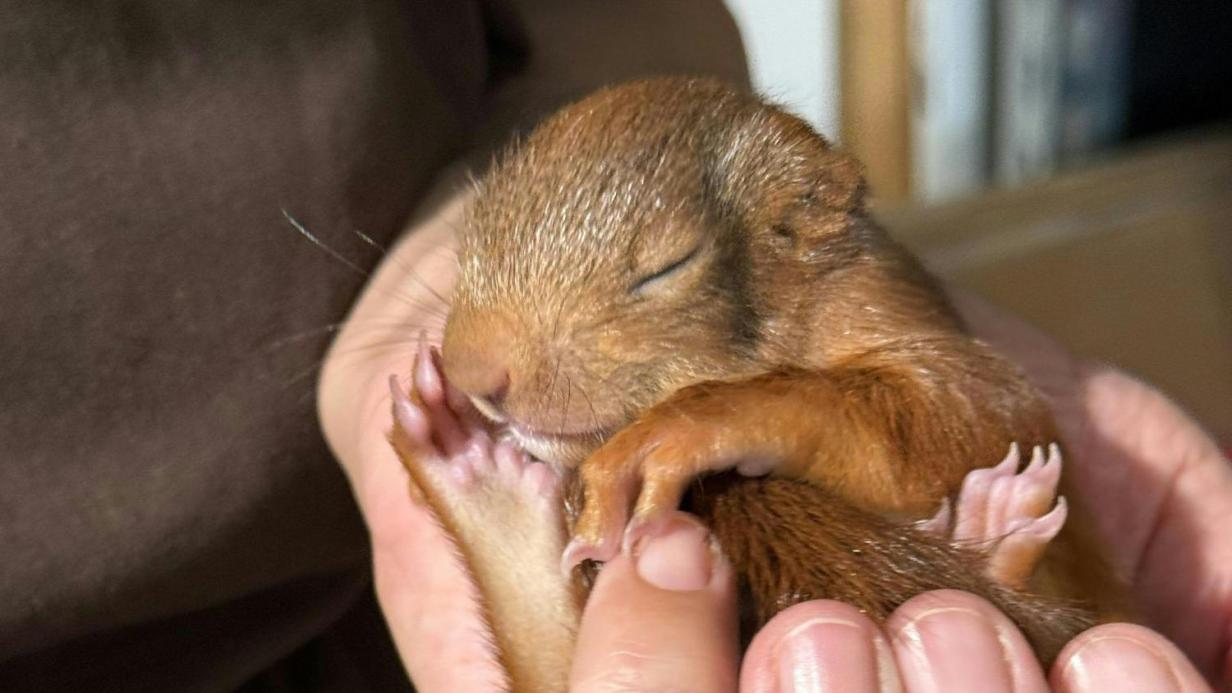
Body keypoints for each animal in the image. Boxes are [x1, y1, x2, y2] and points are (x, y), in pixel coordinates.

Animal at [387, 77, 1128, 692]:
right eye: (471, 226)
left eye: (669, 266)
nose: (473, 370)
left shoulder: (914, 326)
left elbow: (972, 408)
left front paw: (685, 426)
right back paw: (470, 471)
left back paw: (999, 525)